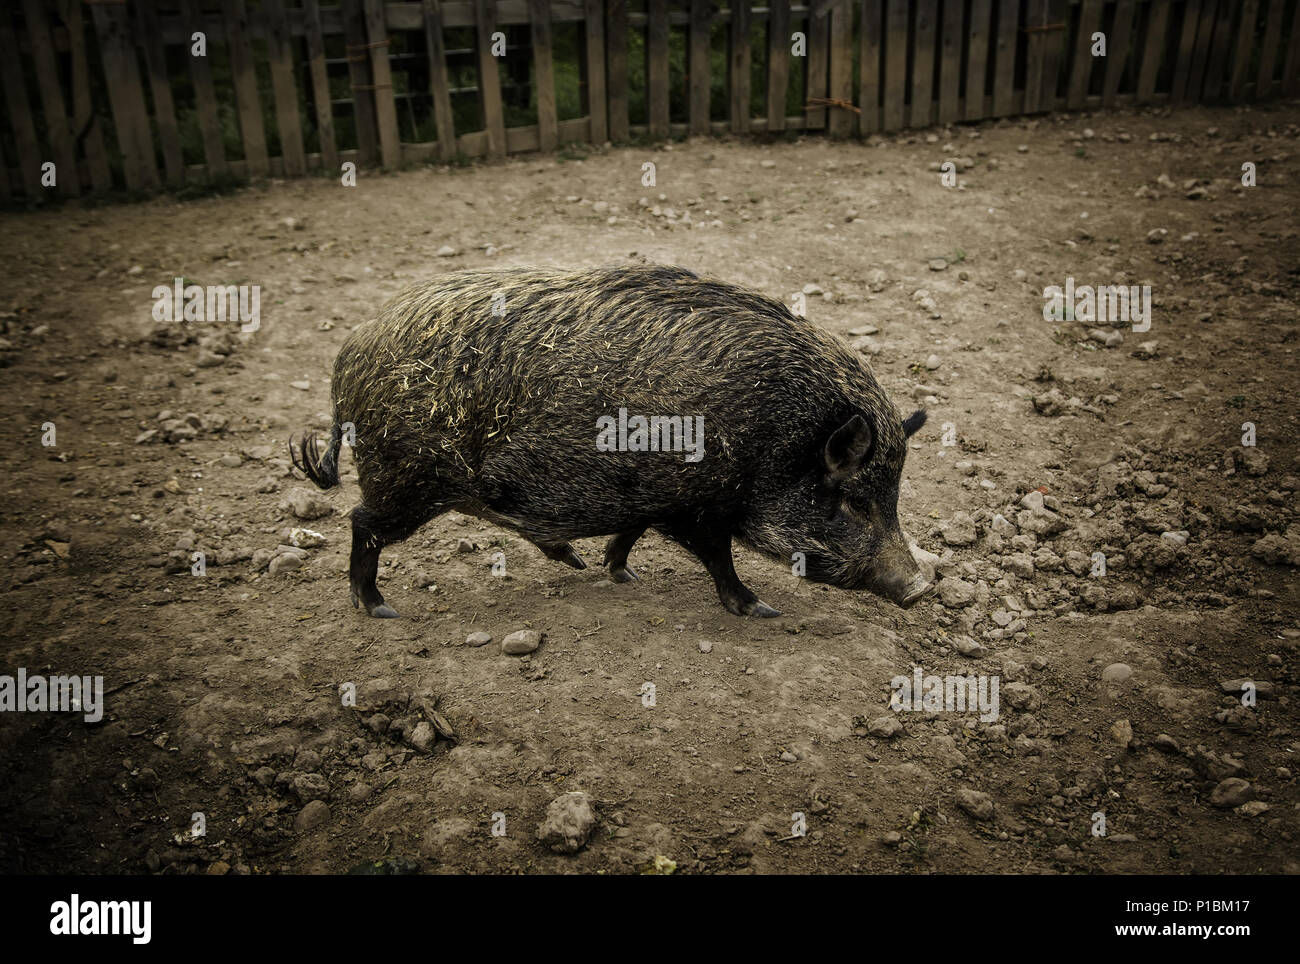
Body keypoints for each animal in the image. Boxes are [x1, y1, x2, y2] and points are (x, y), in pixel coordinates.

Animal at [292, 264, 931, 619]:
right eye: (853, 501)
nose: (923, 587)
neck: (776, 439)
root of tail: (348, 355)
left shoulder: (654, 495)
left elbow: (633, 531)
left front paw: (623, 574)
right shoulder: (700, 504)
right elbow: (718, 559)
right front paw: (762, 610)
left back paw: (573, 559)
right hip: (406, 477)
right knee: (360, 521)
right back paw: (379, 610)